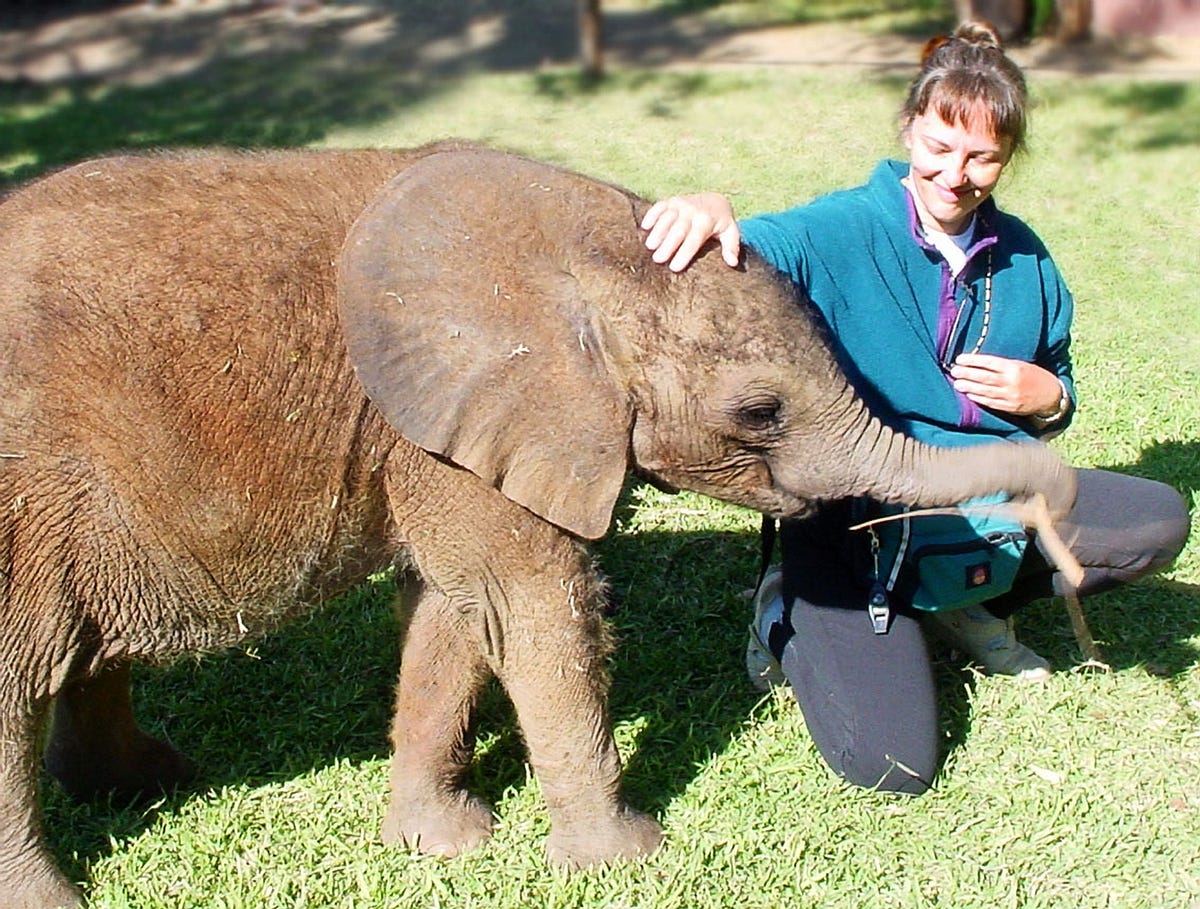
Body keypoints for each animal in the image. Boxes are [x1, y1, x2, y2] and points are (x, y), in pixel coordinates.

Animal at [0, 142, 1076, 908]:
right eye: (760, 412)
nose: (1052, 544)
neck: (581, 236)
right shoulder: (480, 413)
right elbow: (530, 603)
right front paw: (625, 865)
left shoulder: (439, 433)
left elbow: (456, 611)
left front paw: (440, 847)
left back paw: (147, 786)